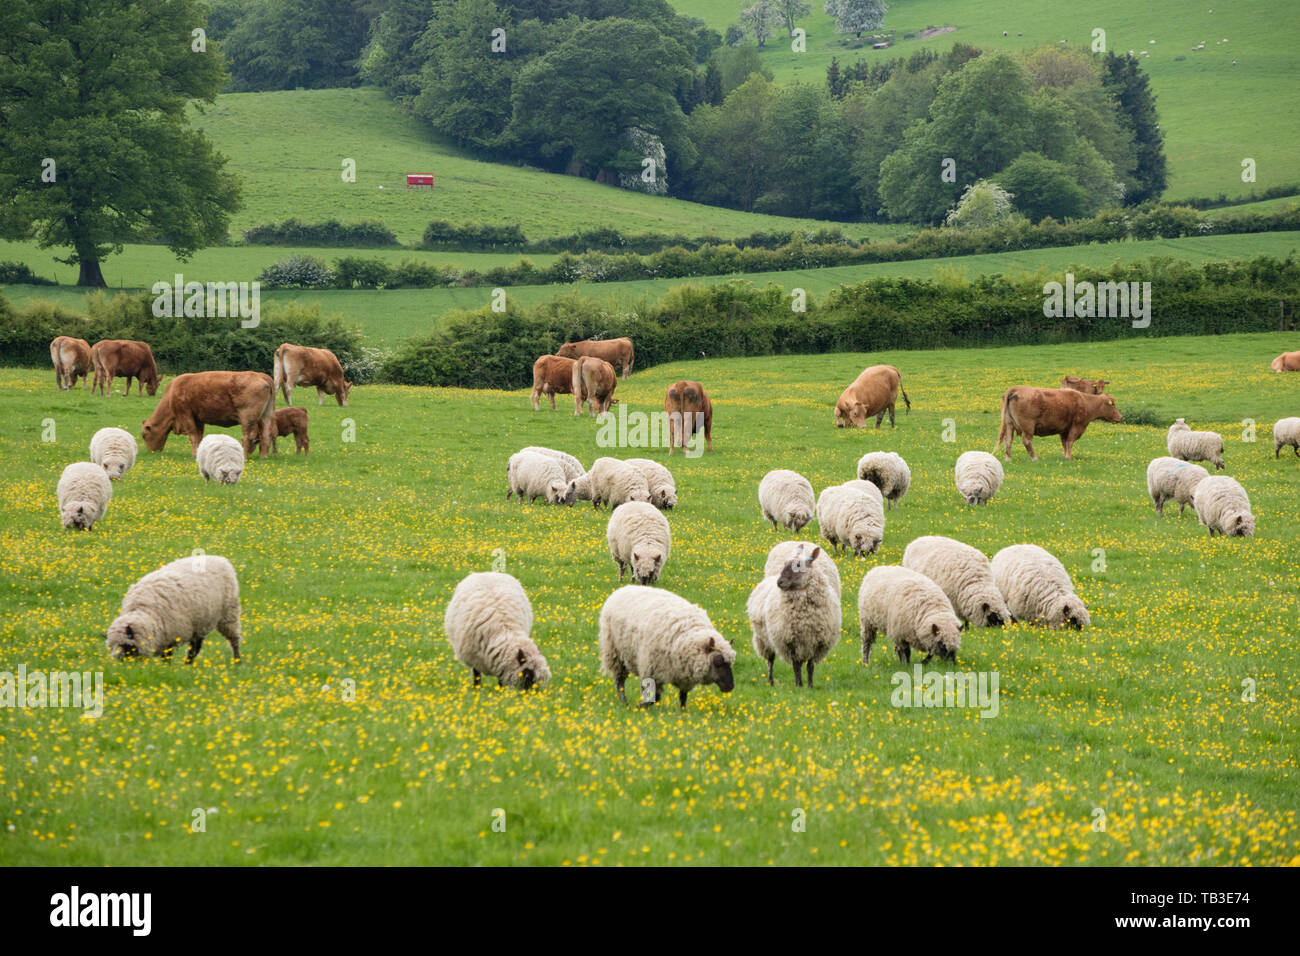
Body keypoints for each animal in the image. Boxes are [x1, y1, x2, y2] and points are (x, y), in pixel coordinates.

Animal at [105, 555, 242, 661]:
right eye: (111, 647)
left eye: (126, 645)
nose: (120, 664)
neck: (144, 610)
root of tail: (219, 559)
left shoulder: (171, 634)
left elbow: (167, 657)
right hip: (200, 622)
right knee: (195, 646)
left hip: (229, 613)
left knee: (233, 639)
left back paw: (237, 661)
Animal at [142, 371, 275, 459]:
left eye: (144, 435)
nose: (150, 452)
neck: (171, 394)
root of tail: (262, 376)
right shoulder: (198, 419)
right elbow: (199, 436)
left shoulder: (186, 415)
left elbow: (193, 436)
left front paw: (194, 454)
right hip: (265, 416)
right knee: (266, 434)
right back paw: (263, 456)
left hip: (248, 418)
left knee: (247, 436)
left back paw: (245, 455)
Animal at [598, 585, 735, 709]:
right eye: (717, 662)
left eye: (731, 663)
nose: (730, 687)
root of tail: (622, 588)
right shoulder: (651, 669)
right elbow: (653, 694)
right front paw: (644, 707)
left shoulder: (685, 676)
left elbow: (682, 697)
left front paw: (683, 712)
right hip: (614, 653)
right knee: (620, 682)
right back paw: (624, 703)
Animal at [747, 545, 841, 687]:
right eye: (784, 564)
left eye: (798, 565)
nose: (779, 582)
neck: (806, 615)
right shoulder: (790, 641)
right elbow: (796, 666)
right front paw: (799, 685)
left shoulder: (817, 643)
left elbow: (810, 667)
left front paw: (810, 686)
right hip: (764, 638)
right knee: (770, 660)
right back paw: (770, 681)